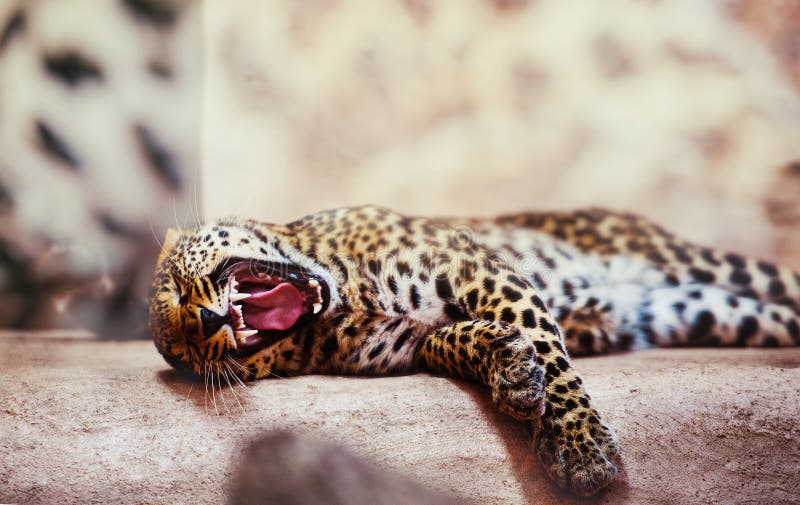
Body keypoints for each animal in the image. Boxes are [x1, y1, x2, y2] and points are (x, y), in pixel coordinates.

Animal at [149, 205, 800, 496]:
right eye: (186, 352)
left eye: (179, 290)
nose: (206, 320)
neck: (339, 300)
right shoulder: (411, 344)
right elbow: (457, 342)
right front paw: (509, 370)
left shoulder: (474, 266)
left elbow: (549, 354)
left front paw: (581, 451)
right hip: (710, 310)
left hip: (701, 265)